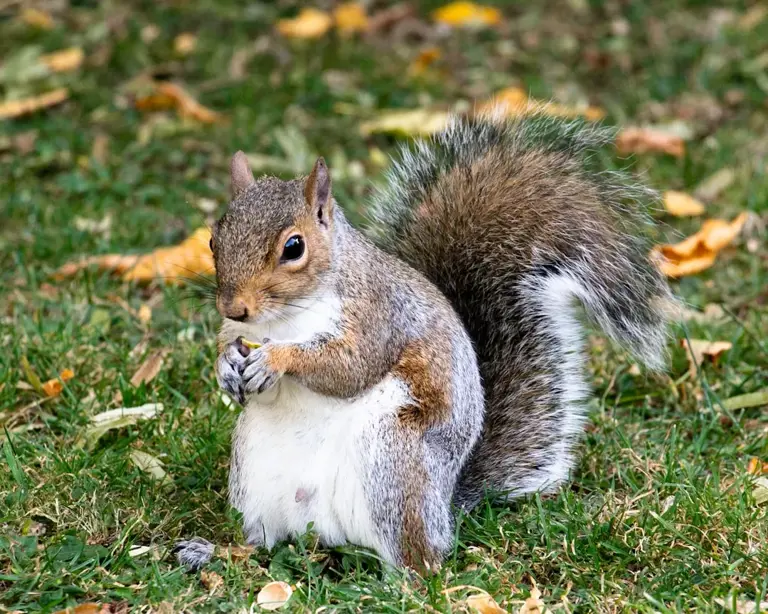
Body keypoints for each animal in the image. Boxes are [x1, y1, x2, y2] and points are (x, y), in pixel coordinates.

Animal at [180, 112, 673, 571]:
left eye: (294, 247)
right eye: (213, 240)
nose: (234, 307)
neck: (284, 318)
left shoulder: (379, 316)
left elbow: (349, 367)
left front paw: (276, 360)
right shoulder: (241, 331)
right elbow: (230, 345)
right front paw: (225, 366)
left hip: (395, 461)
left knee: (420, 557)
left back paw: (403, 581)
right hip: (254, 476)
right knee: (263, 541)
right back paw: (215, 551)